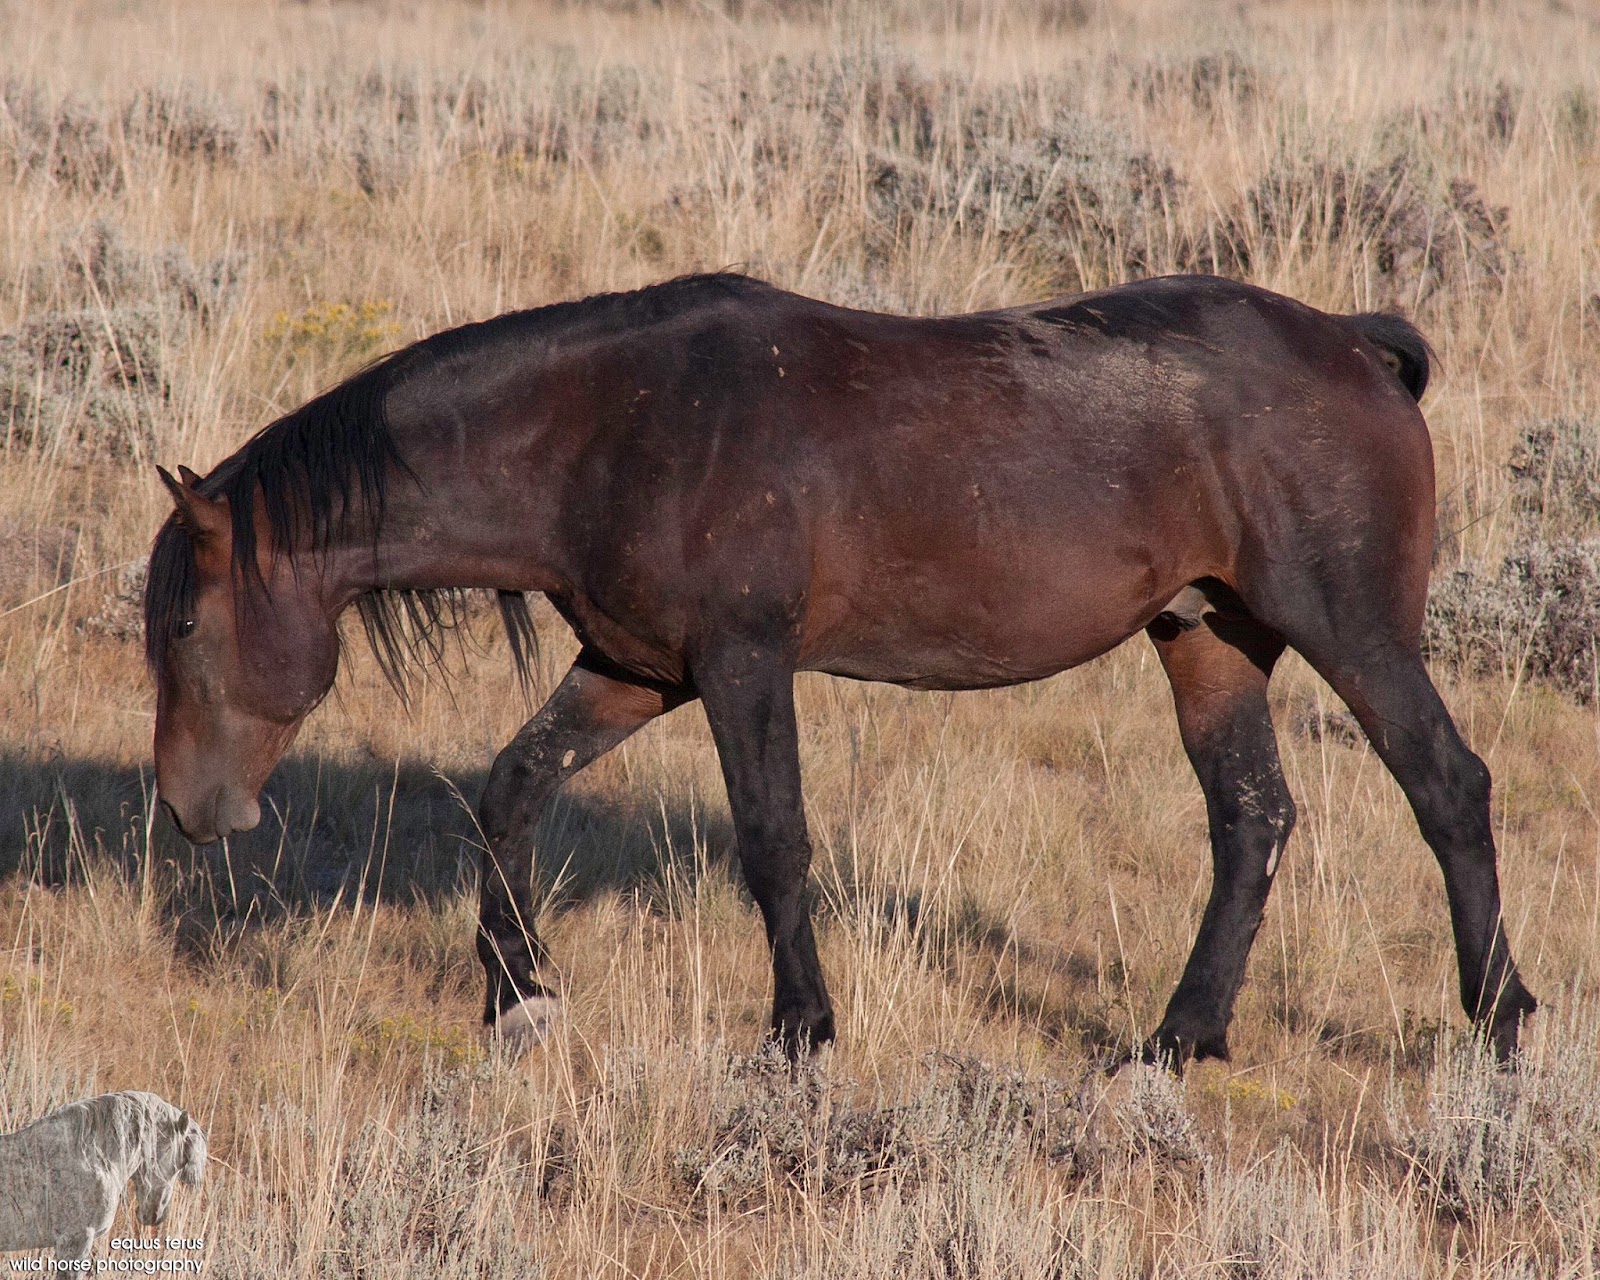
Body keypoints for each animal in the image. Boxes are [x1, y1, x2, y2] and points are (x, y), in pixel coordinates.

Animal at [143, 271, 1536, 1066]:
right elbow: (510, 789)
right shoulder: (635, 667)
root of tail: (1356, 346)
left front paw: (799, 1029)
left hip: (1349, 626)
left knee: (1448, 786)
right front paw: (517, 996)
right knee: (1252, 820)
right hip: (1209, 637)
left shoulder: (742, 663)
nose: (192, 810)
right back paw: (1175, 1040)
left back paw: (1498, 1021)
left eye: (186, 628)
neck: (610, 428)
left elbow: (773, 840)